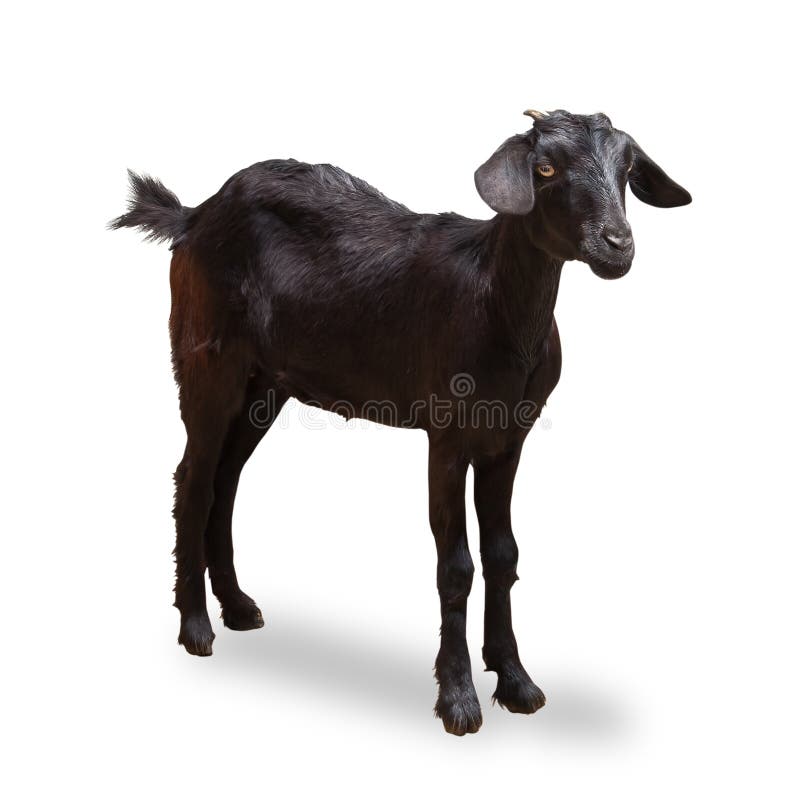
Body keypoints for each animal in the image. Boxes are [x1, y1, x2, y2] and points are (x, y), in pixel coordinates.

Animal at [111, 109, 691, 735]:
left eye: (627, 169)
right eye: (545, 167)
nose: (617, 245)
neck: (497, 308)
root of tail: (194, 215)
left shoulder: (509, 437)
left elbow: (503, 554)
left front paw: (515, 681)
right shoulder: (447, 433)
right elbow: (455, 565)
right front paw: (458, 699)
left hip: (265, 384)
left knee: (227, 480)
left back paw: (239, 607)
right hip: (208, 359)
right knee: (194, 479)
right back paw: (196, 627)